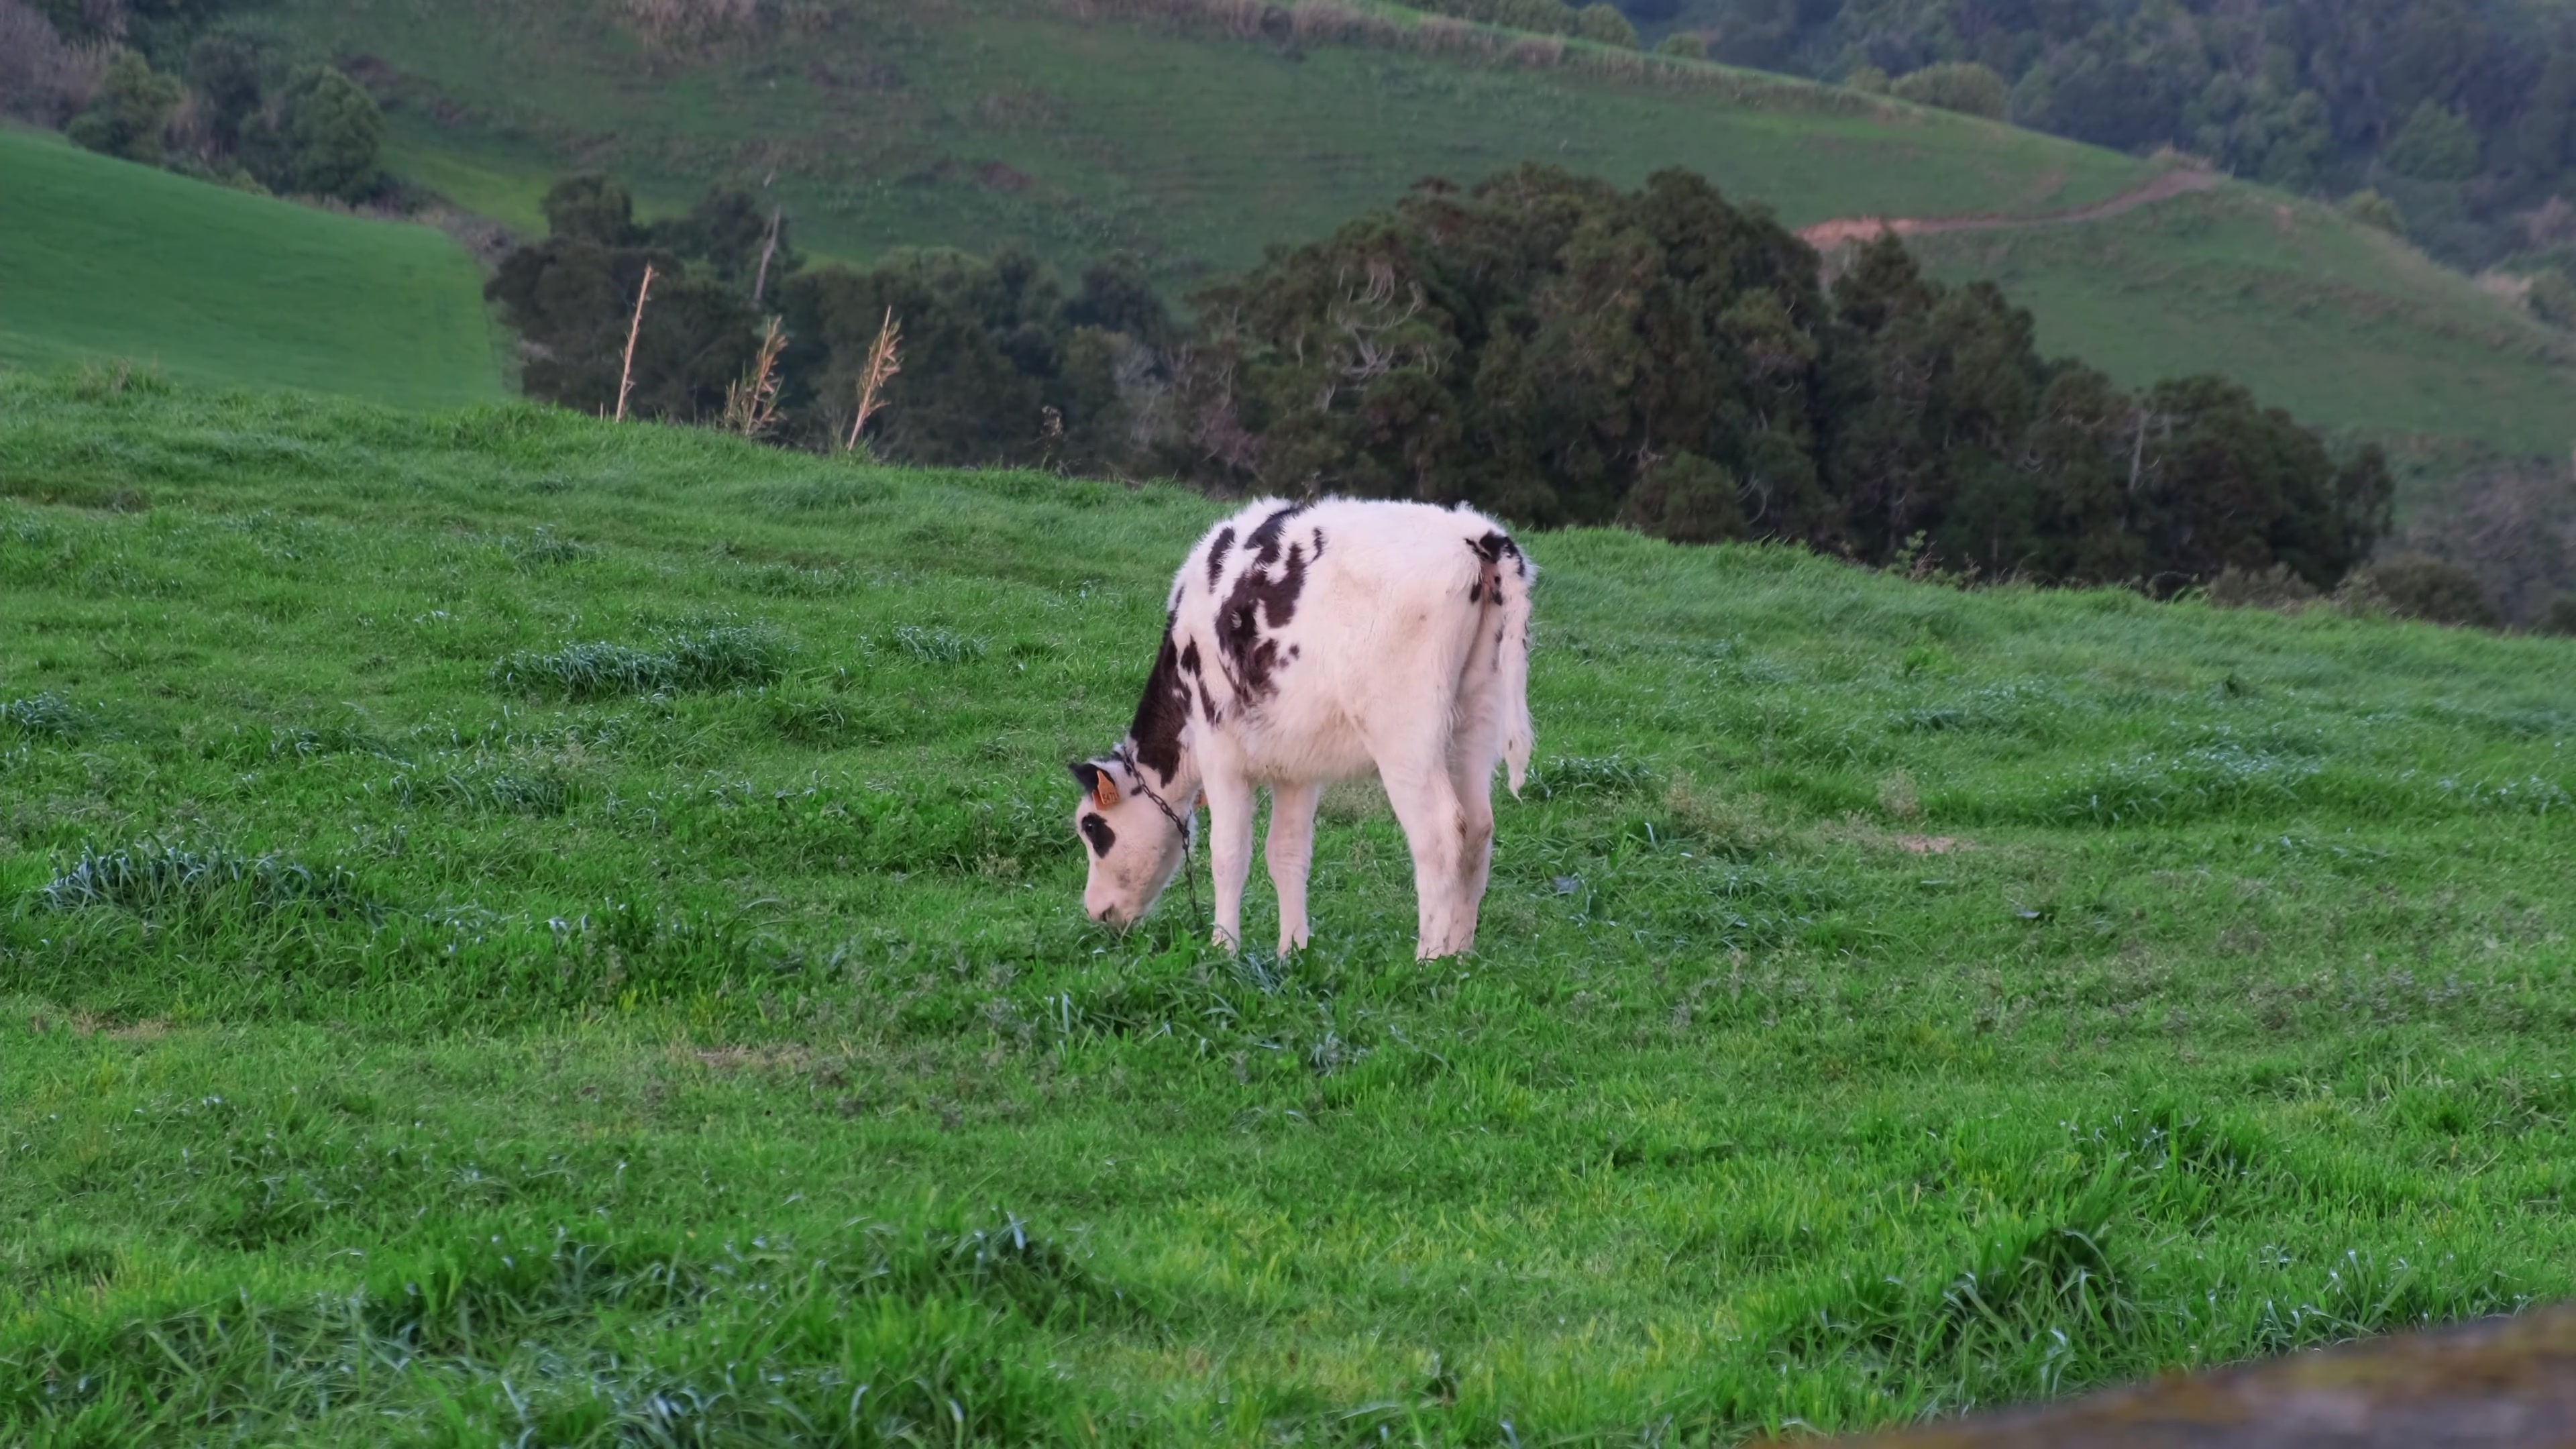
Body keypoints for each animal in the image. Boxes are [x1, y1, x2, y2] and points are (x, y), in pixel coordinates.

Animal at [1070, 497, 1534, 960]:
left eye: (1091, 827)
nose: (1094, 910)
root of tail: (1475, 535)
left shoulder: (1219, 751)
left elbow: (1228, 854)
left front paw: (1224, 947)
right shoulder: (1297, 766)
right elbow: (1287, 853)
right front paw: (1292, 950)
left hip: (1407, 734)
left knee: (1439, 834)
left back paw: (1429, 959)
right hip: (1475, 720)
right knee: (1479, 828)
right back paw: (1460, 955)